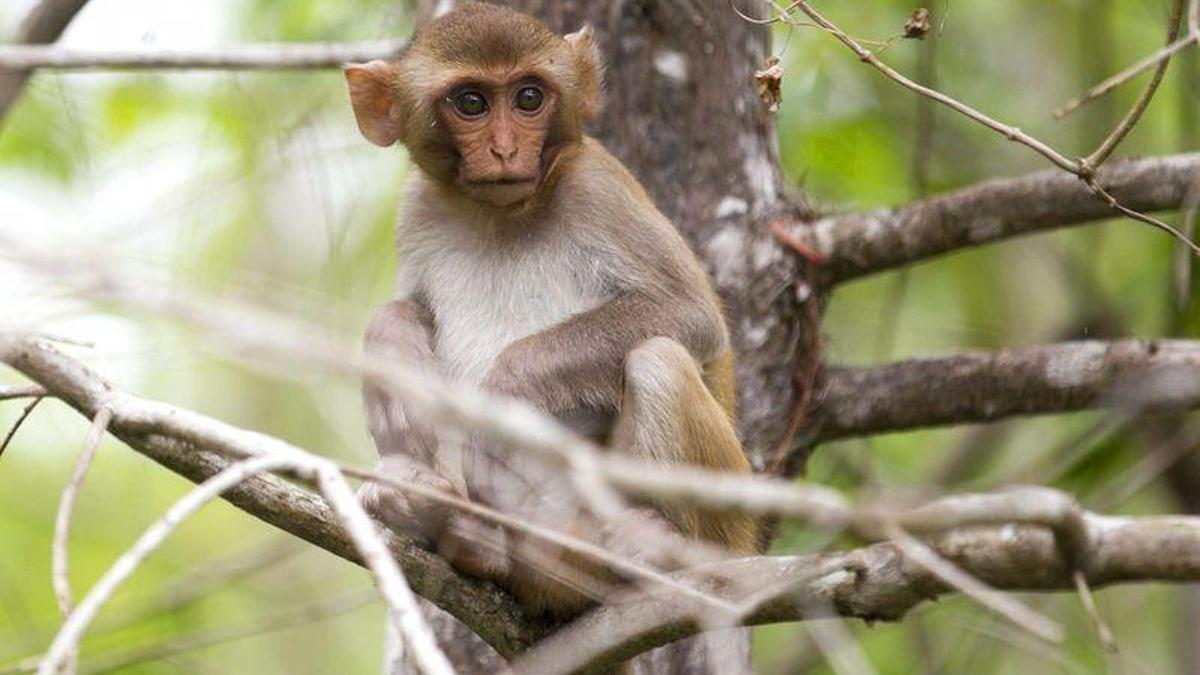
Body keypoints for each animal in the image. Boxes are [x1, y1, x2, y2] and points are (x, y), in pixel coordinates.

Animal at [346, 2, 759, 616]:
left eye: (528, 97)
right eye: (471, 103)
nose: (504, 150)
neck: (502, 213)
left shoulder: (598, 188)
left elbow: (688, 313)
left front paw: (506, 394)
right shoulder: (418, 209)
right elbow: (411, 310)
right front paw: (390, 345)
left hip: (726, 531)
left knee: (657, 360)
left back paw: (658, 553)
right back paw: (458, 530)